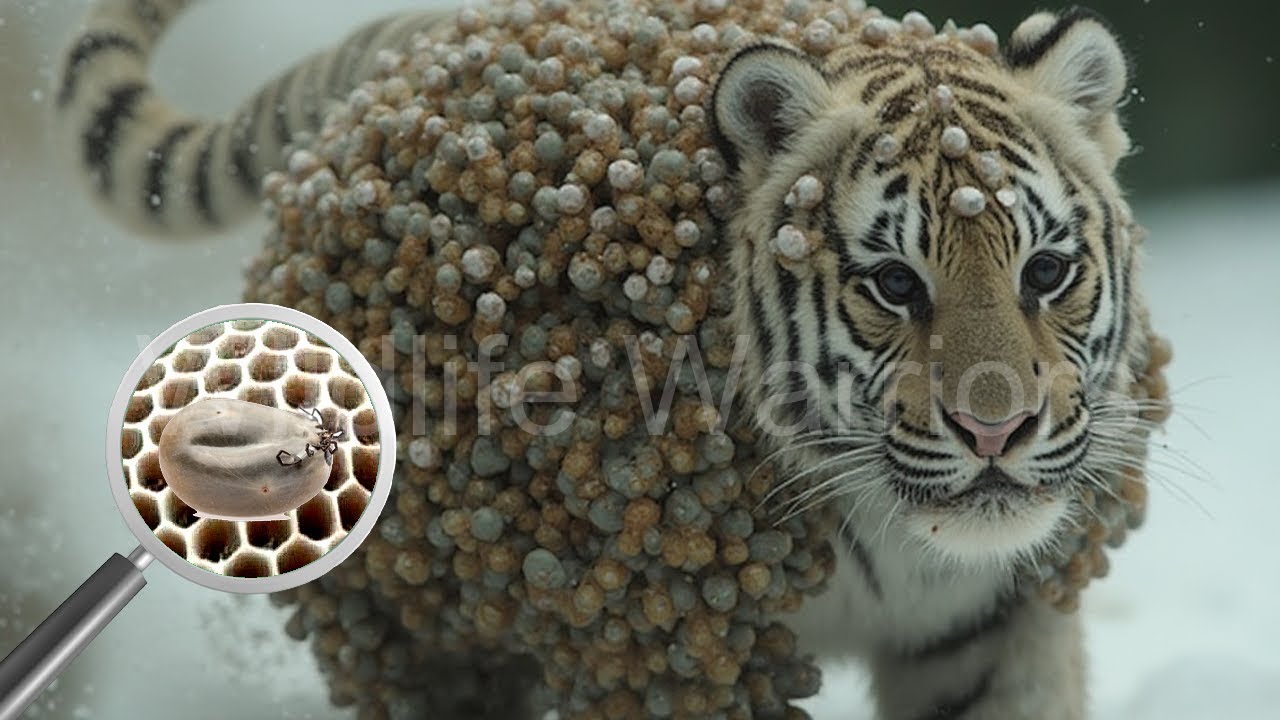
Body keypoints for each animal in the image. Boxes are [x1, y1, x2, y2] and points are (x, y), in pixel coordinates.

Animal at [58, 1, 1166, 718]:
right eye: (895, 282)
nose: (995, 429)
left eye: (1046, 270)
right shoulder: (665, 650)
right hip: (409, 632)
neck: (892, 549)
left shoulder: (989, 634)